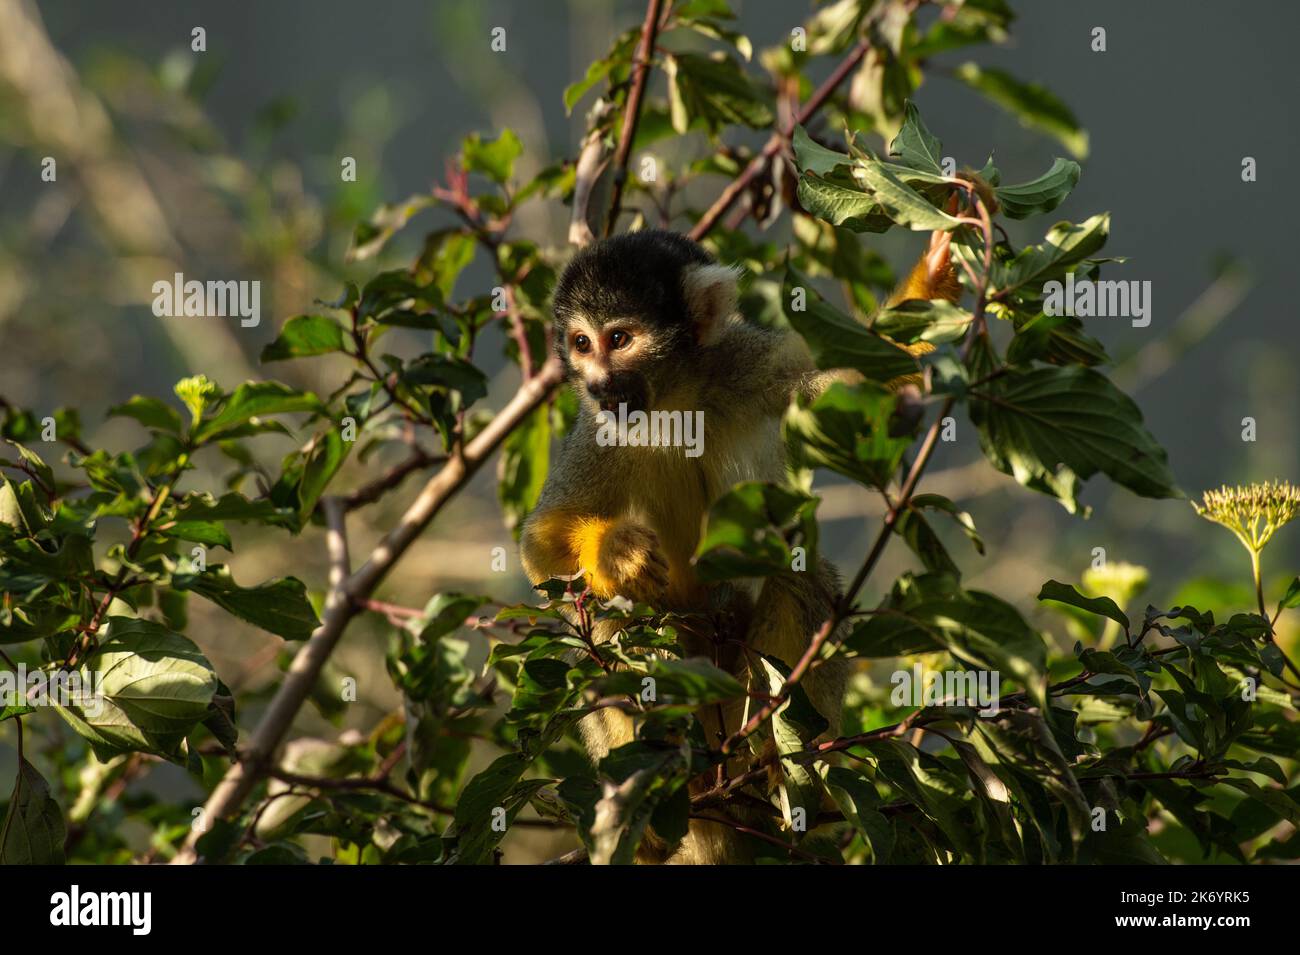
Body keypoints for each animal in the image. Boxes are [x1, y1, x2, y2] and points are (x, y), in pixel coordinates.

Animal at [519, 228, 959, 864]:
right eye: (581, 344)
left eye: (618, 339)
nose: (599, 383)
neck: (673, 400)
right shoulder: (598, 432)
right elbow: (542, 547)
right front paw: (614, 552)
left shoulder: (745, 365)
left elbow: (859, 376)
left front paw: (936, 279)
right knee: (608, 613)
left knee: (796, 575)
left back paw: (783, 770)